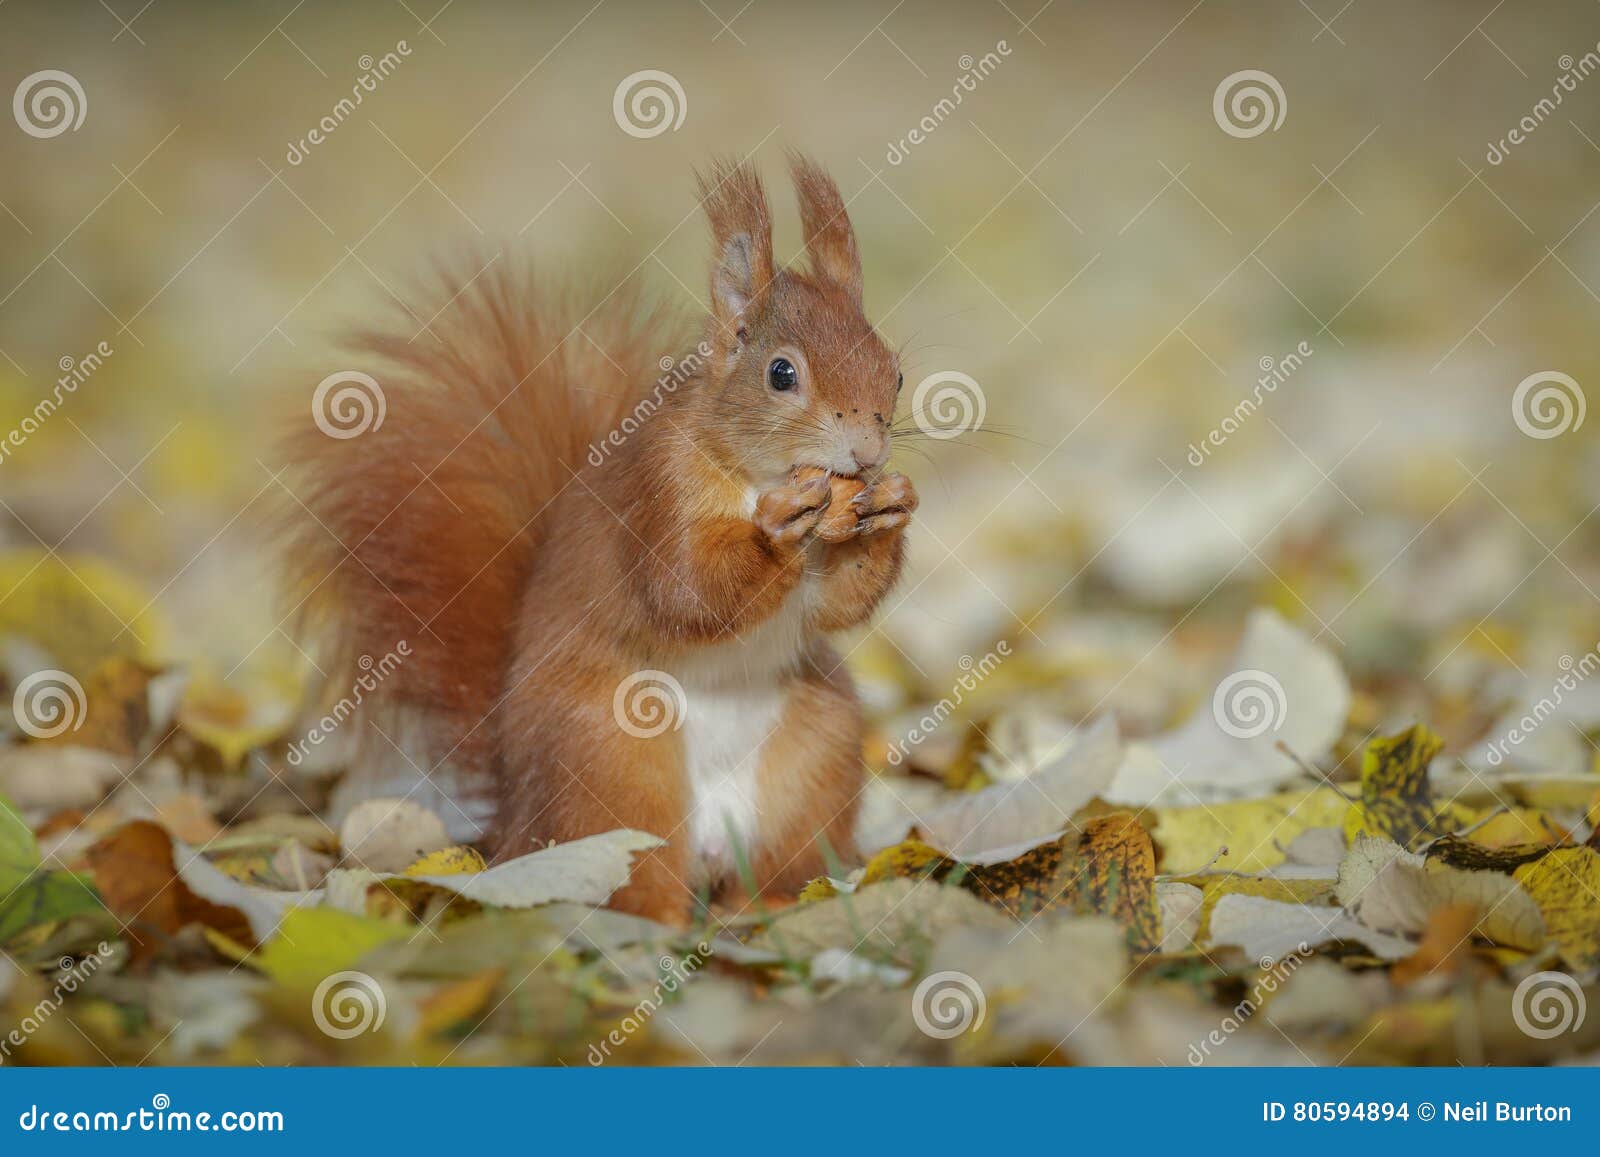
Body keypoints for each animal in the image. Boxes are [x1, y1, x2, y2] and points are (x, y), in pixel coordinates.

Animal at [281, 156, 916, 924]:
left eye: (895, 370)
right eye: (781, 373)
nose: (867, 453)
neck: (752, 474)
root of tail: (518, 819)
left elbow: (832, 604)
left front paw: (890, 510)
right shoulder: (657, 492)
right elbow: (683, 589)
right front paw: (777, 530)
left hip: (816, 750)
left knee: (766, 867)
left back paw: (766, 906)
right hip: (612, 759)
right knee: (639, 878)